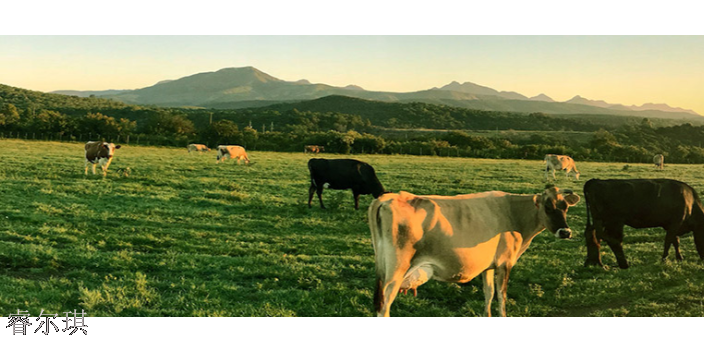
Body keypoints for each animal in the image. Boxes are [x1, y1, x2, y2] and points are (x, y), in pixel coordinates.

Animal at [366, 186, 580, 318]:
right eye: (547, 207)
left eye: (566, 207)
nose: (565, 232)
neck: (513, 213)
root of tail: (389, 198)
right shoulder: (505, 263)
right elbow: (502, 296)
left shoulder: (489, 265)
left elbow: (489, 293)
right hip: (396, 271)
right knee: (385, 305)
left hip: (384, 269)